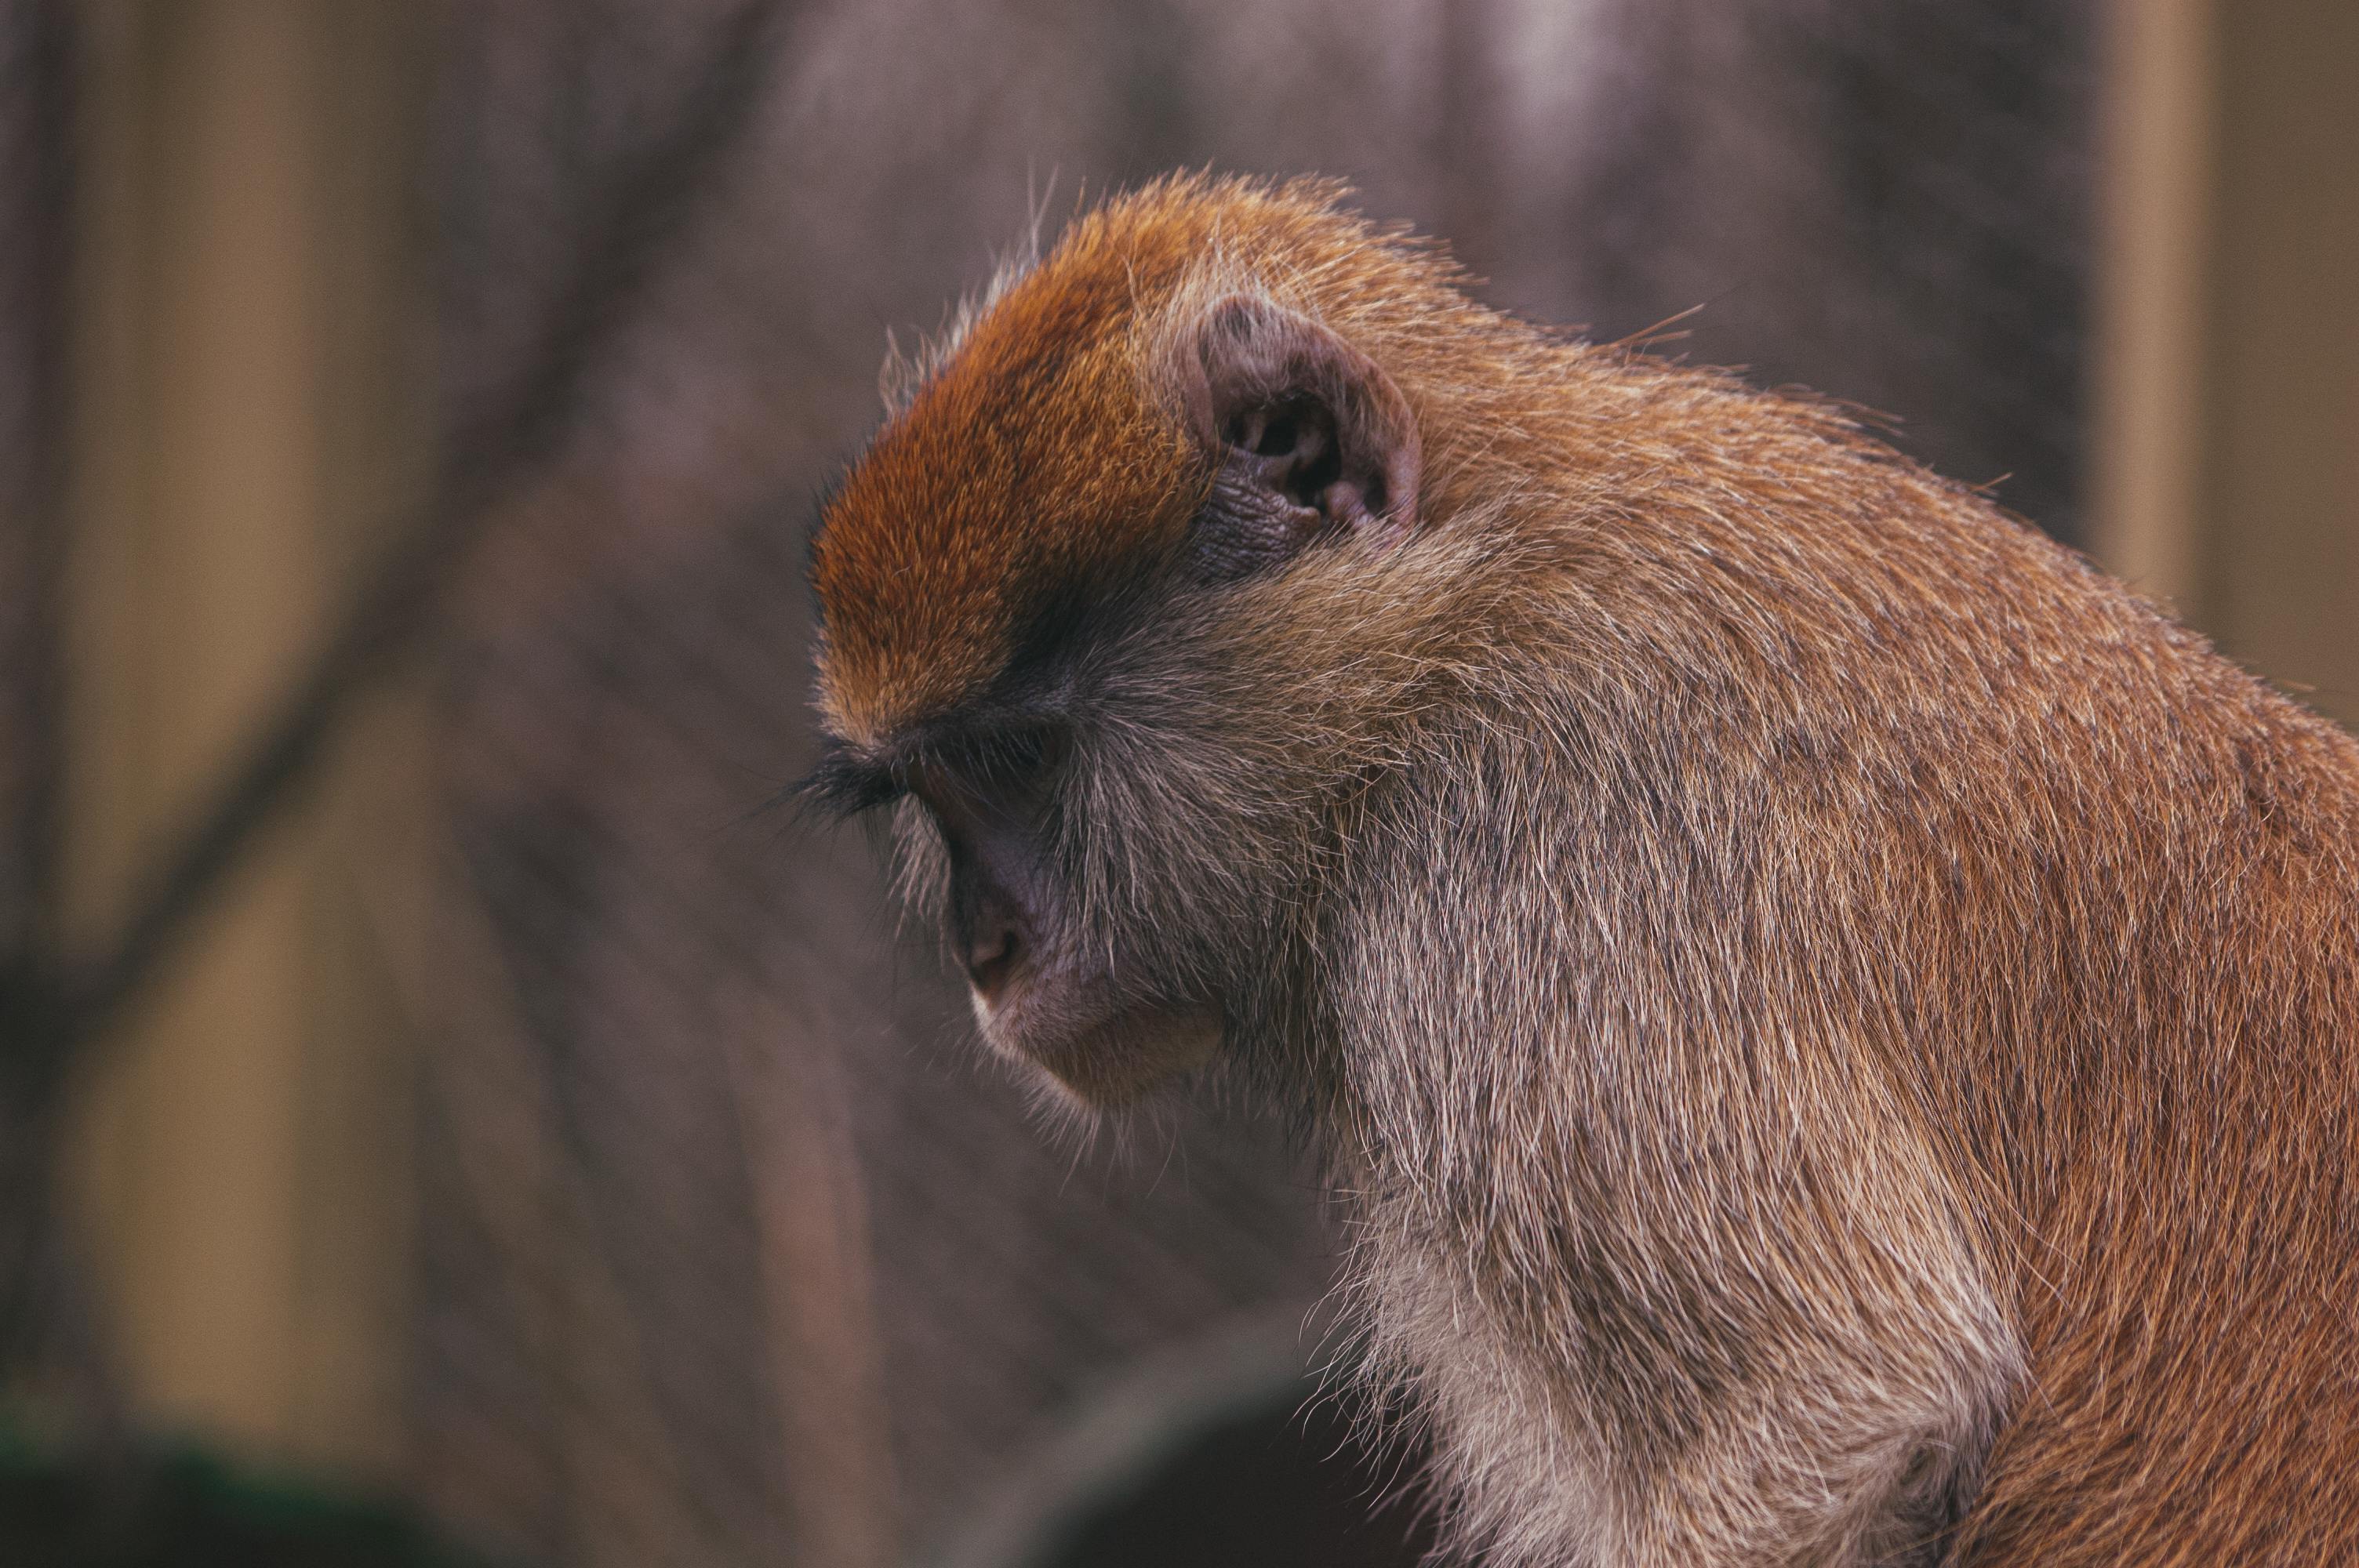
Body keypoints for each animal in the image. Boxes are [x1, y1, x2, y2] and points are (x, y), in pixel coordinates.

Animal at [799, 176, 2359, 1566]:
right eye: (935, 796)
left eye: (1016, 761)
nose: (985, 948)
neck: (1471, 589)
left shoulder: (1521, 867)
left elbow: (1865, 1395)